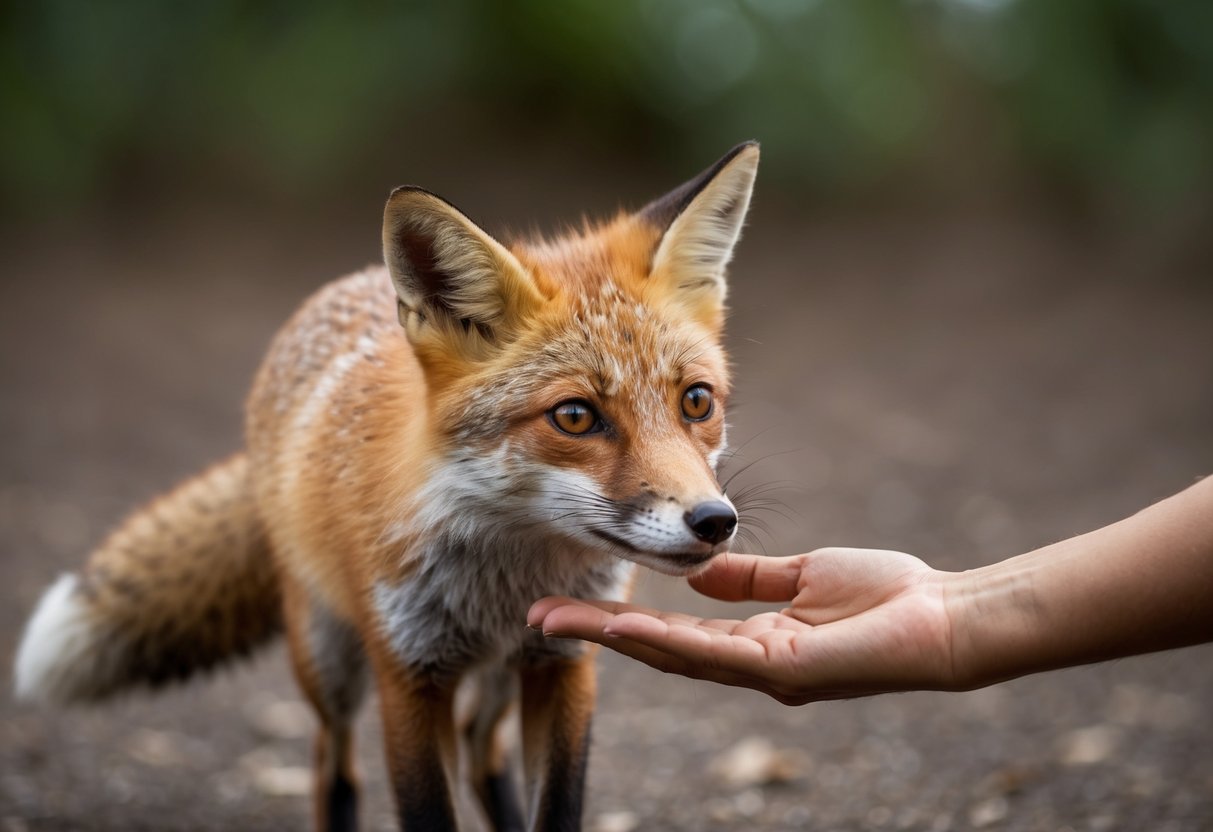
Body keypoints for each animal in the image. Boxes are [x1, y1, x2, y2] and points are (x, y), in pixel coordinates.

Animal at [12, 142, 760, 832]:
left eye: (696, 401)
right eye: (574, 416)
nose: (713, 521)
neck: (506, 580)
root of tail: (345, 285)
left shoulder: (563, 661)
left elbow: (556, 809)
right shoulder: (407, 674)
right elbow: (425, 809)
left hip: (498, 675)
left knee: (480, 750)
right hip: (329, 664)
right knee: (334, 766)